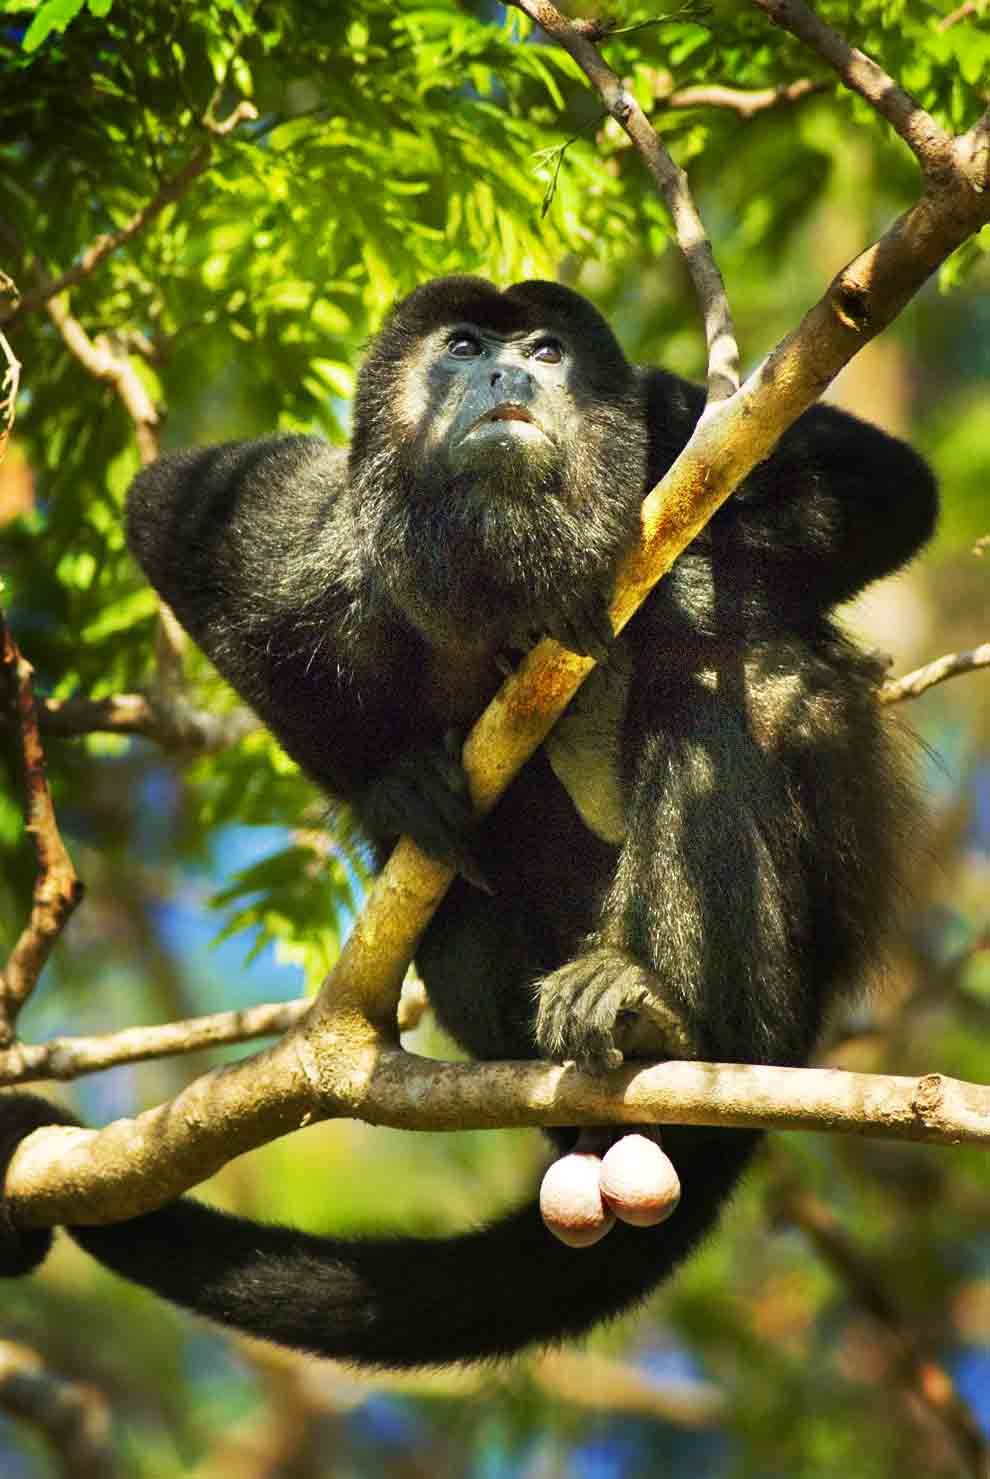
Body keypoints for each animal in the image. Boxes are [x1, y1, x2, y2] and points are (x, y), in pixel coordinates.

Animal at [0, 276, 937, 1367]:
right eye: (461, 346)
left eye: (545, 349)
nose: (508, 377)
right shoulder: (306, 540)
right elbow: (164, 513)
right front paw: (392, 786)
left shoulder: (674, 419)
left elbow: (887, 491)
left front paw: (683, 582)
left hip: (788, 978)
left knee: (717, 706)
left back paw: (658, 1004)